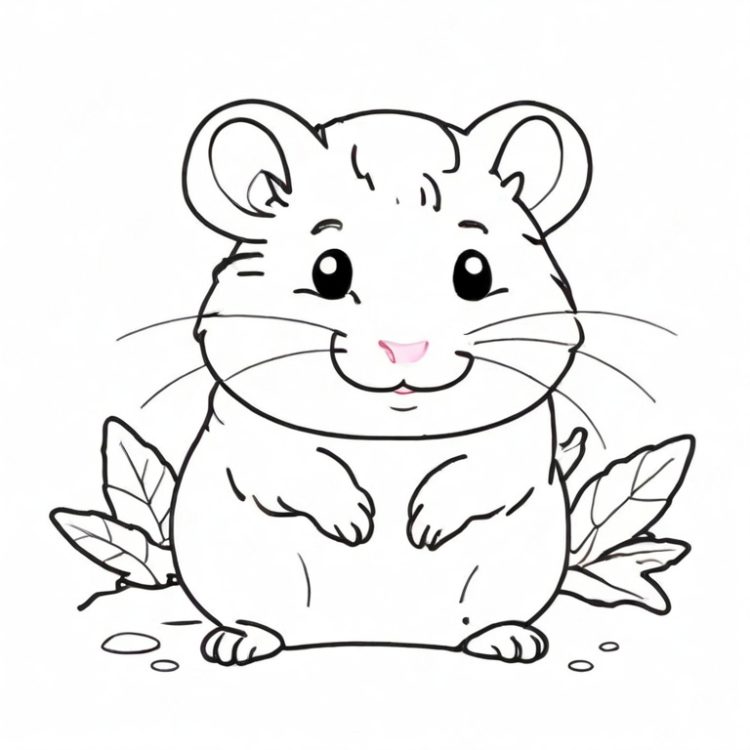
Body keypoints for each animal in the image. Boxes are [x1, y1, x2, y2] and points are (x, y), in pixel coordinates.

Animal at [172, 100, 592, 665]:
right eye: (329, 271)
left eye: (474, 273)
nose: (405, 349)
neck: (391, 435)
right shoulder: (247, 429)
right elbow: (297, 465)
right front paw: (357, 526)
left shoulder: (523, 433)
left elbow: (480, 471)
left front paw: (424, 530)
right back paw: (239, 642)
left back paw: (510, 640)